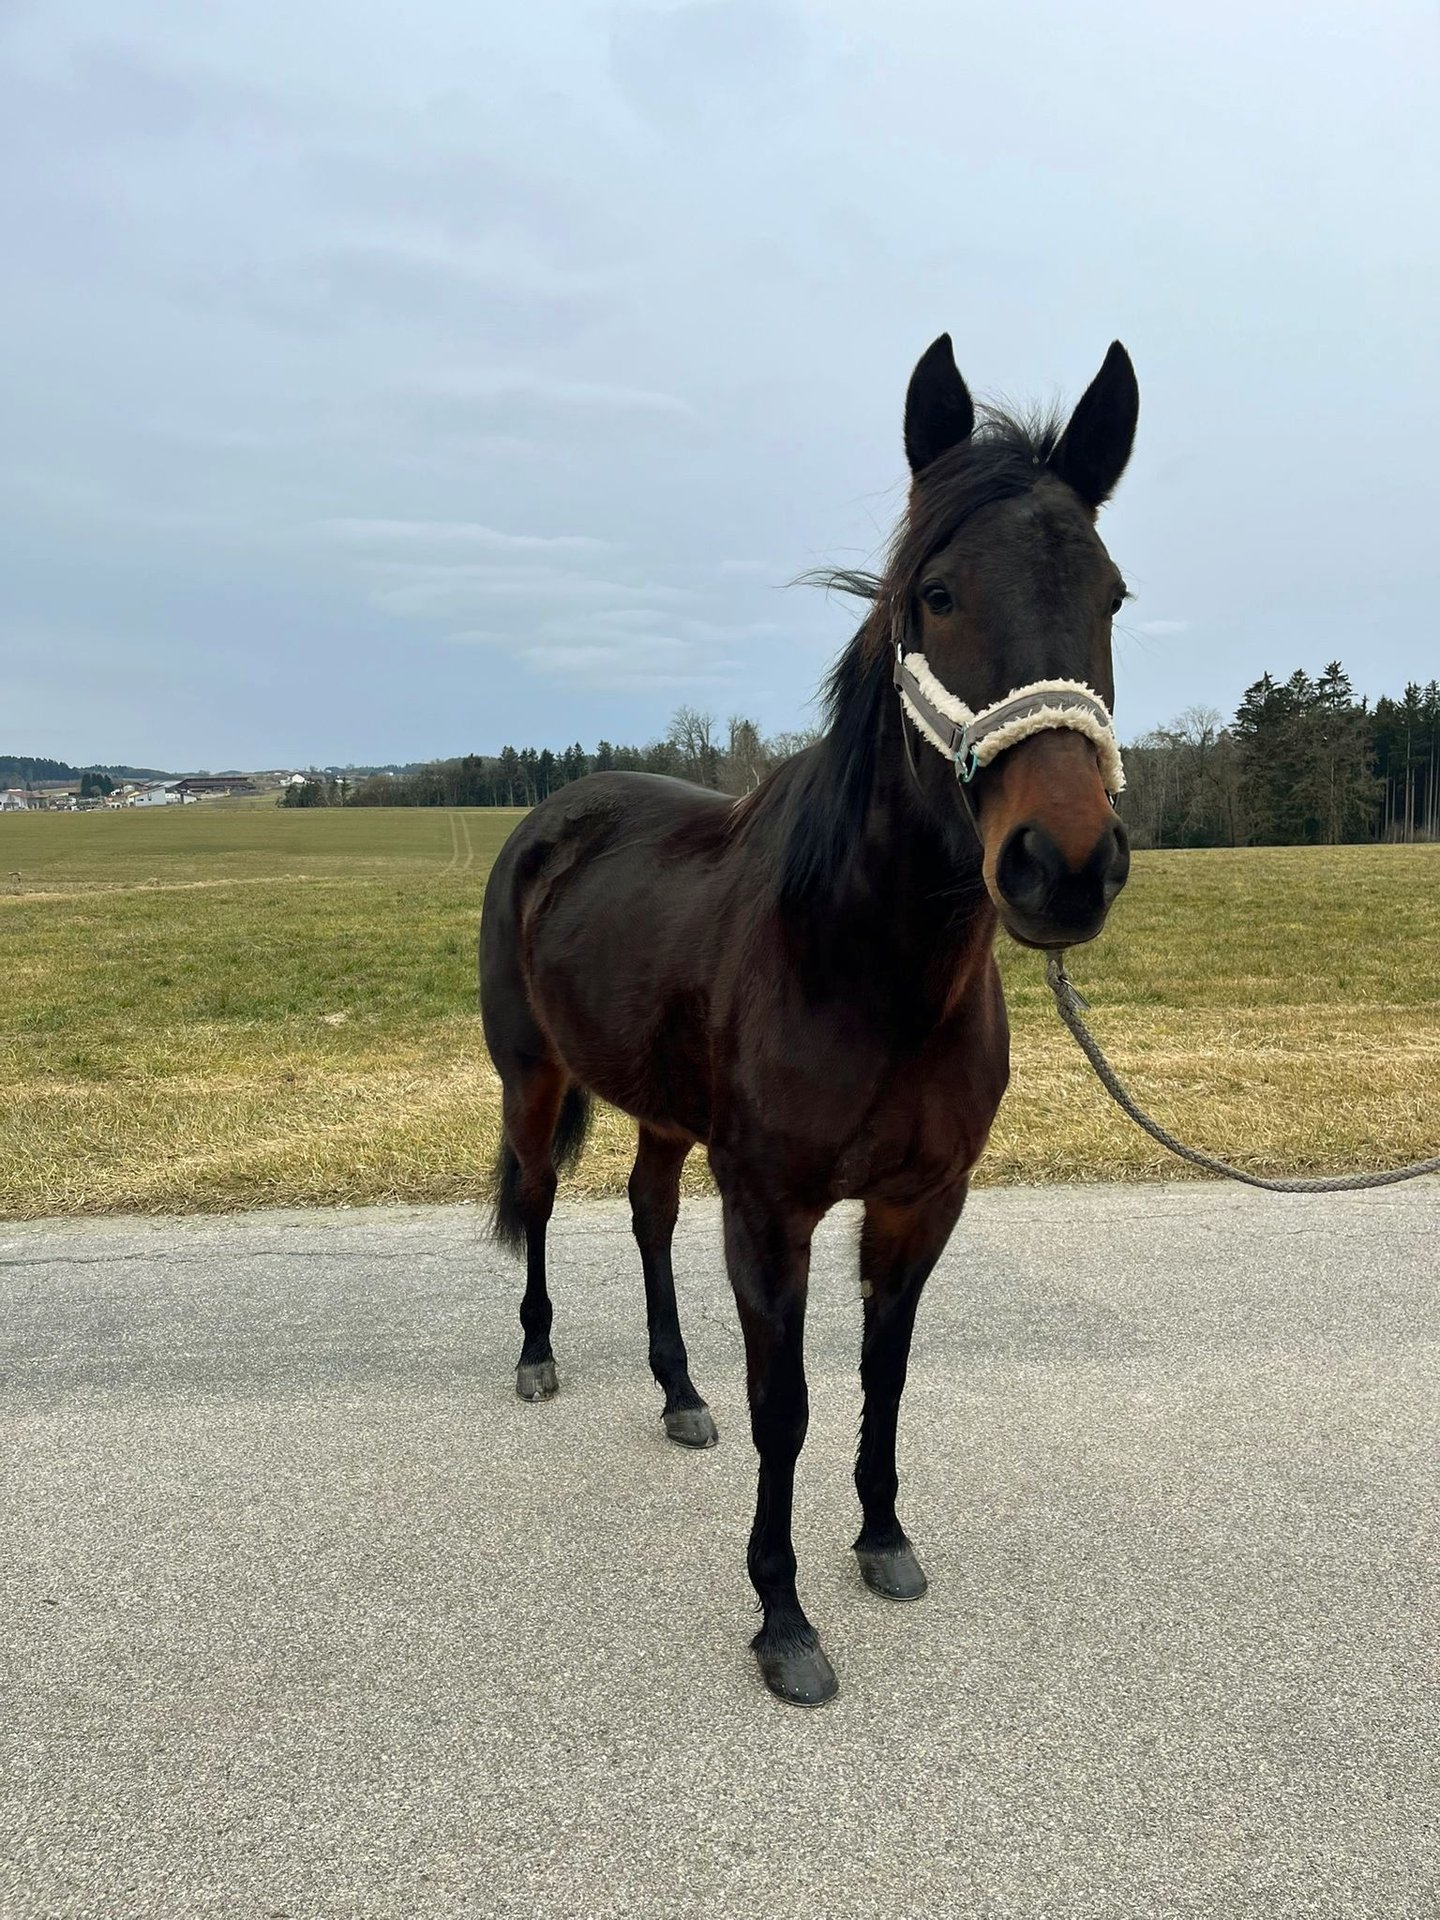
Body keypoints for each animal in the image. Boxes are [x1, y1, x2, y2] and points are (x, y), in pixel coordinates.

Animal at [479, 335, 1138, 1705]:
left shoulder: (920, 1201)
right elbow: (782, 1404)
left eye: (1112, 595)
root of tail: (553, 818)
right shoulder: (771, 1207)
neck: (864, 965)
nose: (1063, 867)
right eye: (935, 594)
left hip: (666, 1112)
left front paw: (882, 1536)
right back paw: (536, 1356)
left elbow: (884, 1373)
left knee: (648, 1212)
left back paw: (677, 1391)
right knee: (541, 1205)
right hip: (532, 1078)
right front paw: (781, 1617)